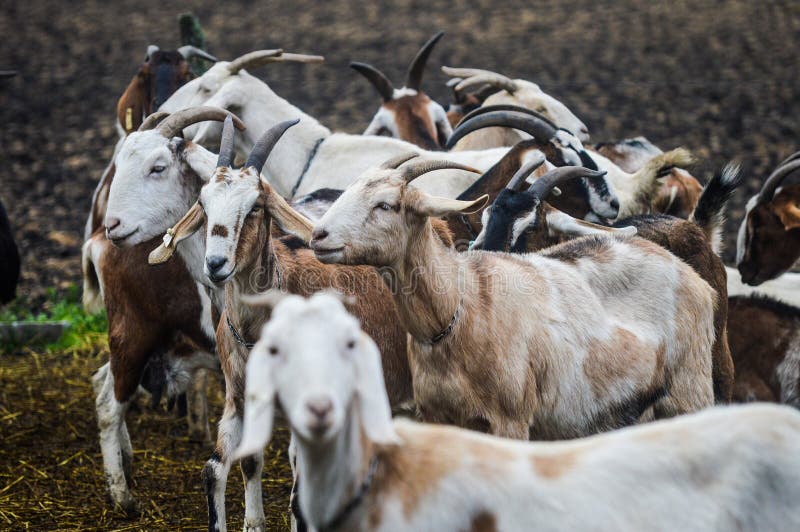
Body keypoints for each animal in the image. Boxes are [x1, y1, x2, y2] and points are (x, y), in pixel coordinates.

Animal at [145, 118, 418, 532]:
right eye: (203, 205)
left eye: (255, 206)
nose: (215, 264)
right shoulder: (239, 399)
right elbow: (220, 469)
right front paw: (252, 520)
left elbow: (298, 494)